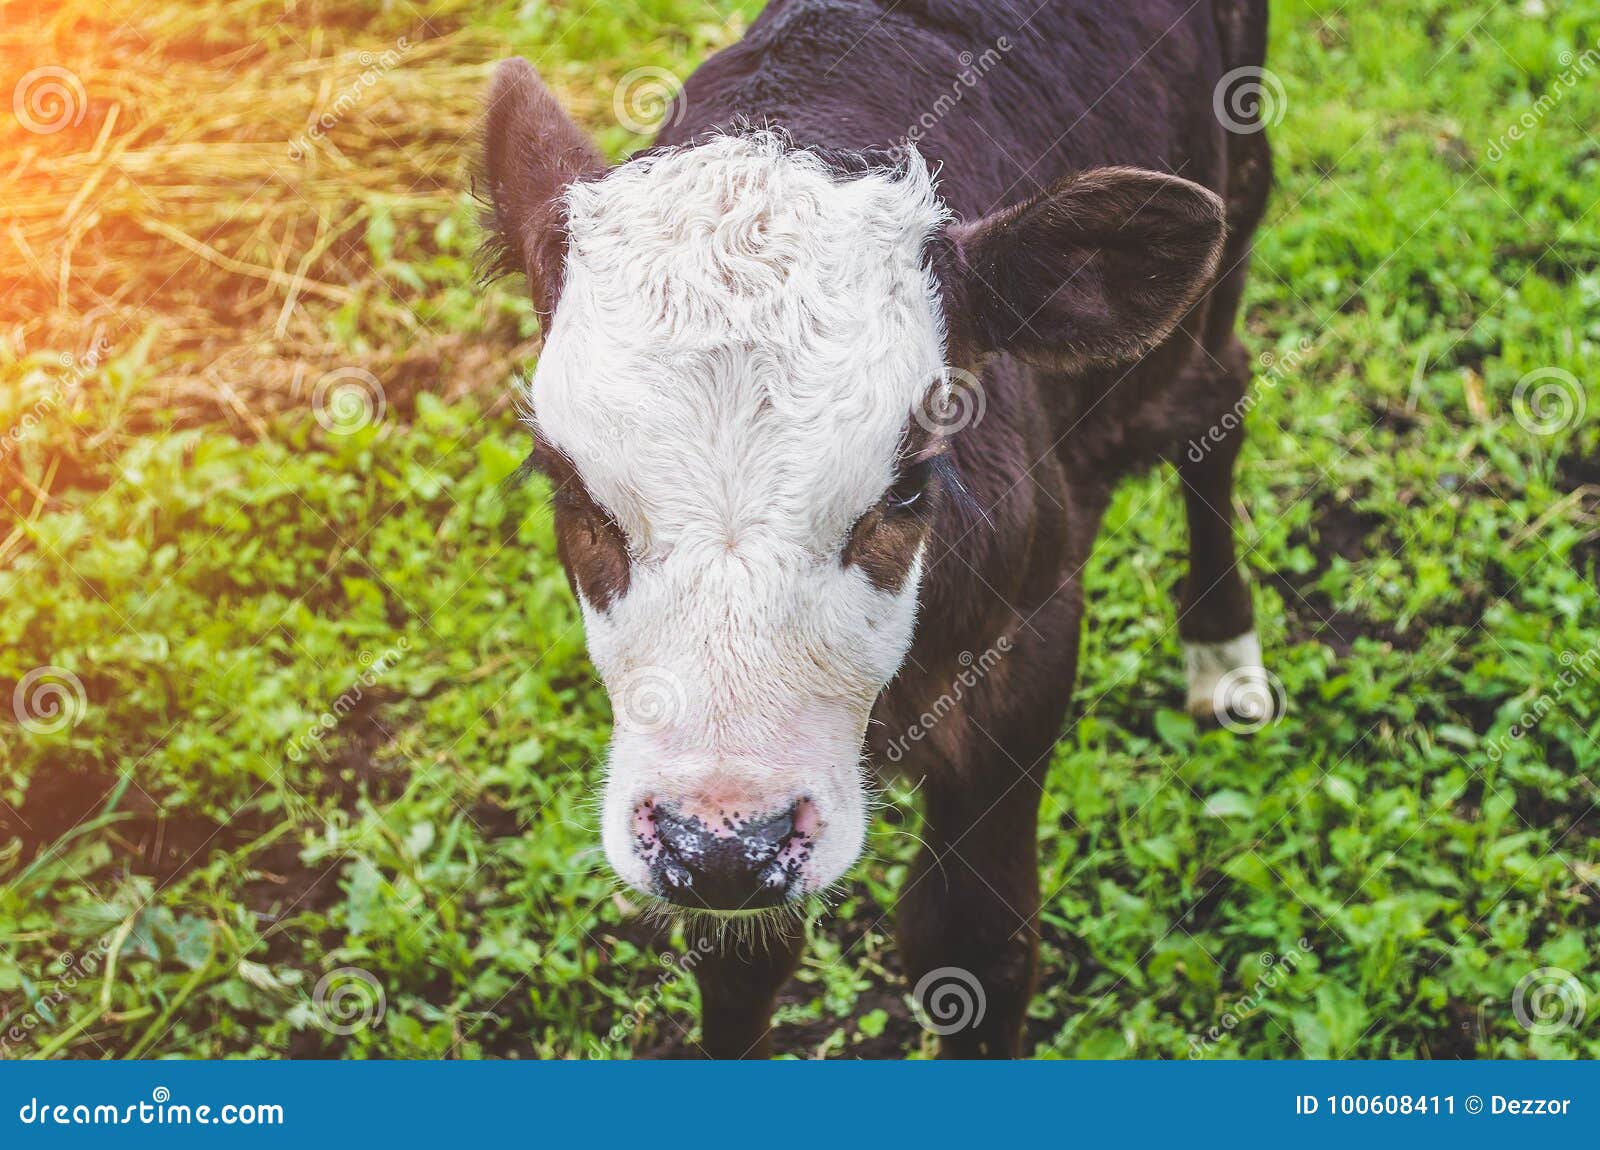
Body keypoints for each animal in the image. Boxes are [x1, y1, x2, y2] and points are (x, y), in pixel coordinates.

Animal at [480, 0, 1274, 1058]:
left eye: (906, 489)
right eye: (567, 483)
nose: (724, 845)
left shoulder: (1028, 646)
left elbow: (973, 945)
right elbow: (740, 965)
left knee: (1215, 397)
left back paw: (1222, 647)